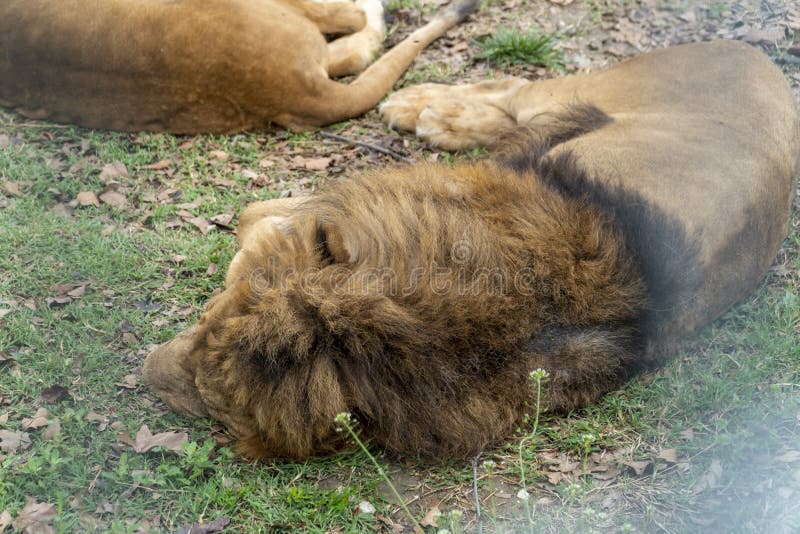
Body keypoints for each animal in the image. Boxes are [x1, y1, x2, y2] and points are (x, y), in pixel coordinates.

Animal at [144, 40, 799, 461]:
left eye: (214, 398)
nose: (145, 371)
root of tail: (758, 57)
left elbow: (256, 220)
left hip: (589, 91)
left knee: (514, 88)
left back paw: (427, 110)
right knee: (511, 91)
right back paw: (429, 112)